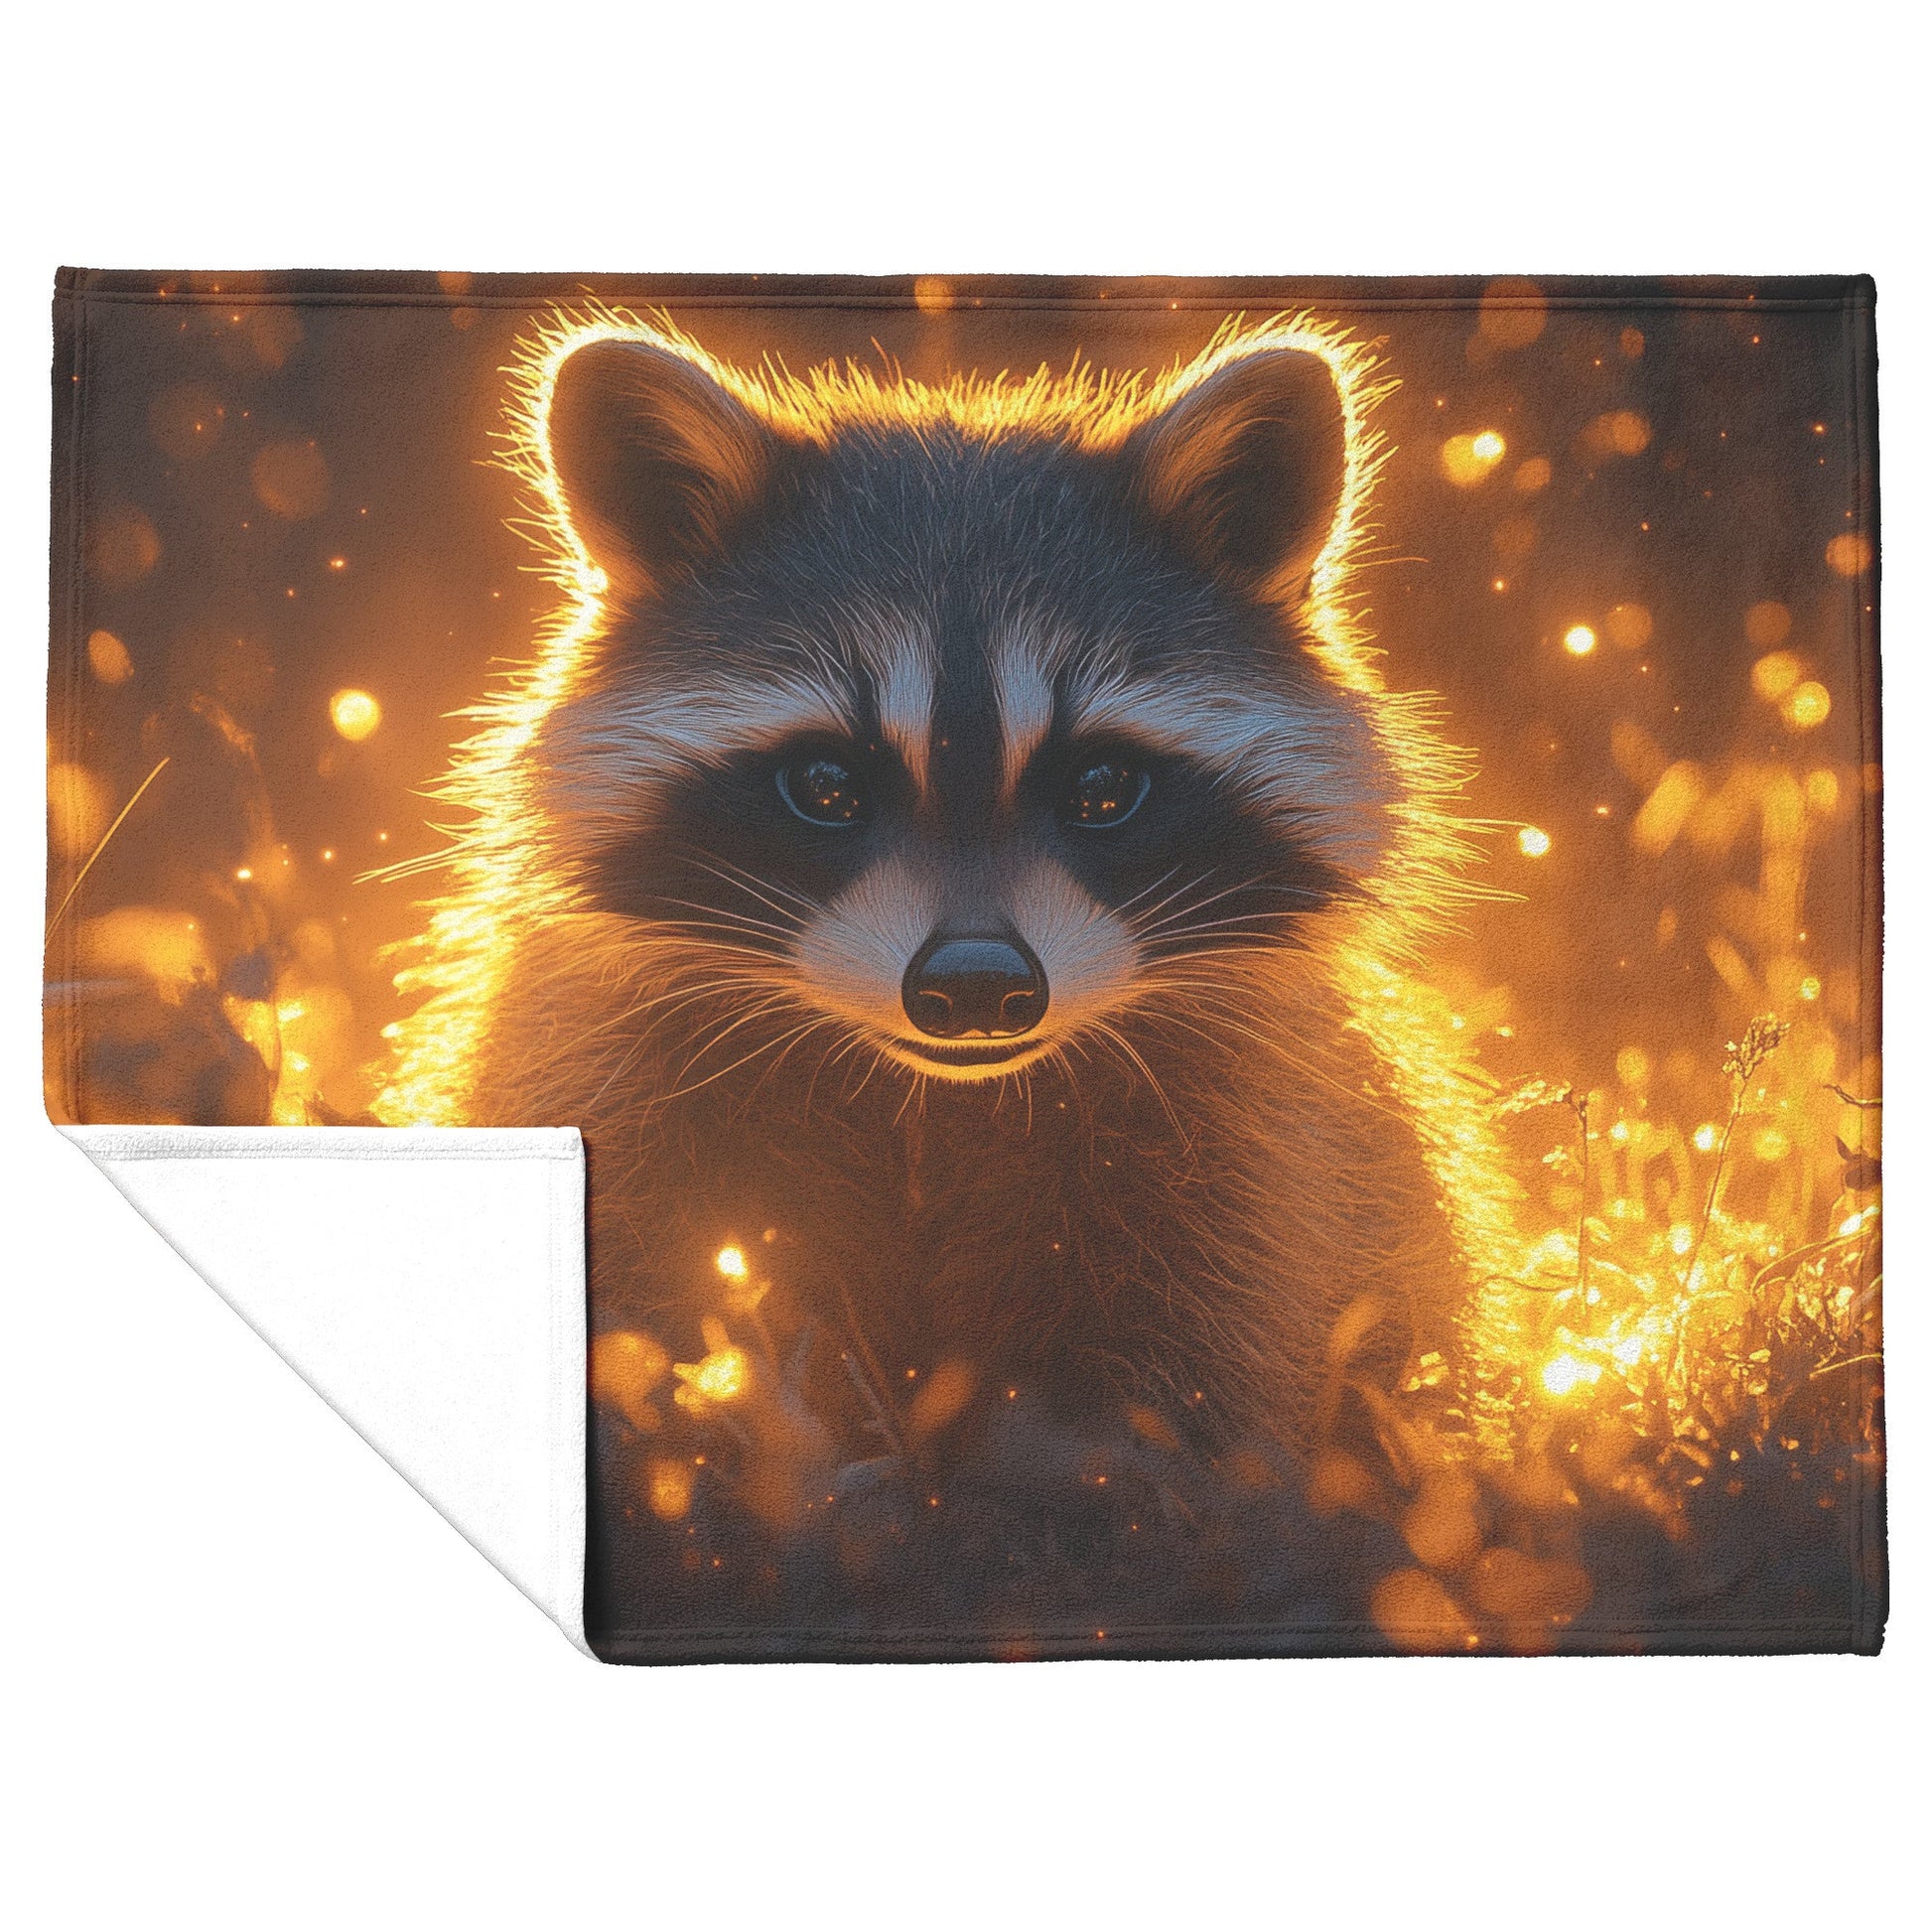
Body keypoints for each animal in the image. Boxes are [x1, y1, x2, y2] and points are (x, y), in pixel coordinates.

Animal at [442, 323, 1467, 1456]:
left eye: (1101, 787)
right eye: (827, 785)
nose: (976, 986)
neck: (936, 1101)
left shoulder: (1261, 1160)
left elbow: (1196, 1390)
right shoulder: (603, 1087)